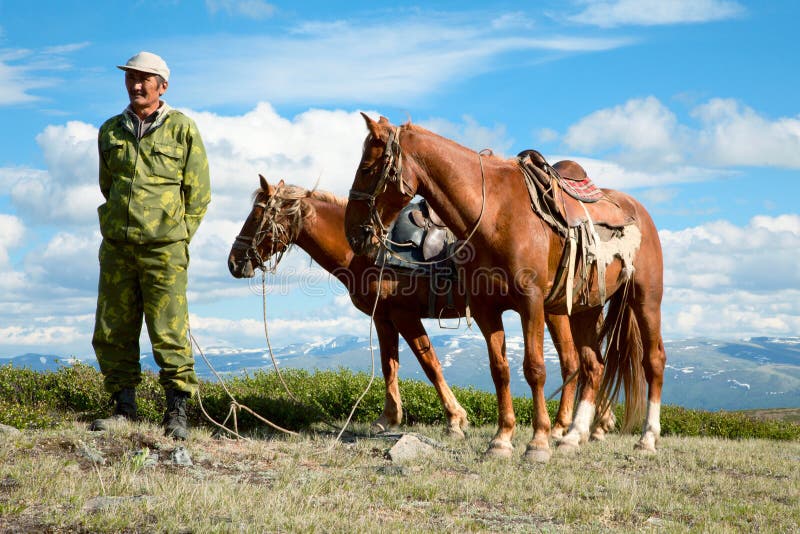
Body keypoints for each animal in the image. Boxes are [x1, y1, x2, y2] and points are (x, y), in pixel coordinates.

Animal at [228, 175, 596, 439]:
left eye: (257, 214)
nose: (234, 261)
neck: (368, 251)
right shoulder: (383, 317)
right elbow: (390, 365)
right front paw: (388, 418)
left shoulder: (405, 315)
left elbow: (429, 364)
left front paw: (455, 420)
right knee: (571, 361)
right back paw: (561, 425)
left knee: (569, 361)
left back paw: (559, 427)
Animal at [345, 114, 666, 462]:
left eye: (367, 168)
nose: (352, 231)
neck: (495, 215)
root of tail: (639, 211)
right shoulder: (486, 309)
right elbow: (500, 370)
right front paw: (501, 440)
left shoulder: (531, 303)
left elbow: (534, 368)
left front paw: (538, 441)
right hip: (585, 306)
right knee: (593, 365)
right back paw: (573, 436)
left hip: (646, 298)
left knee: (653, 360)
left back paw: (647, 438)